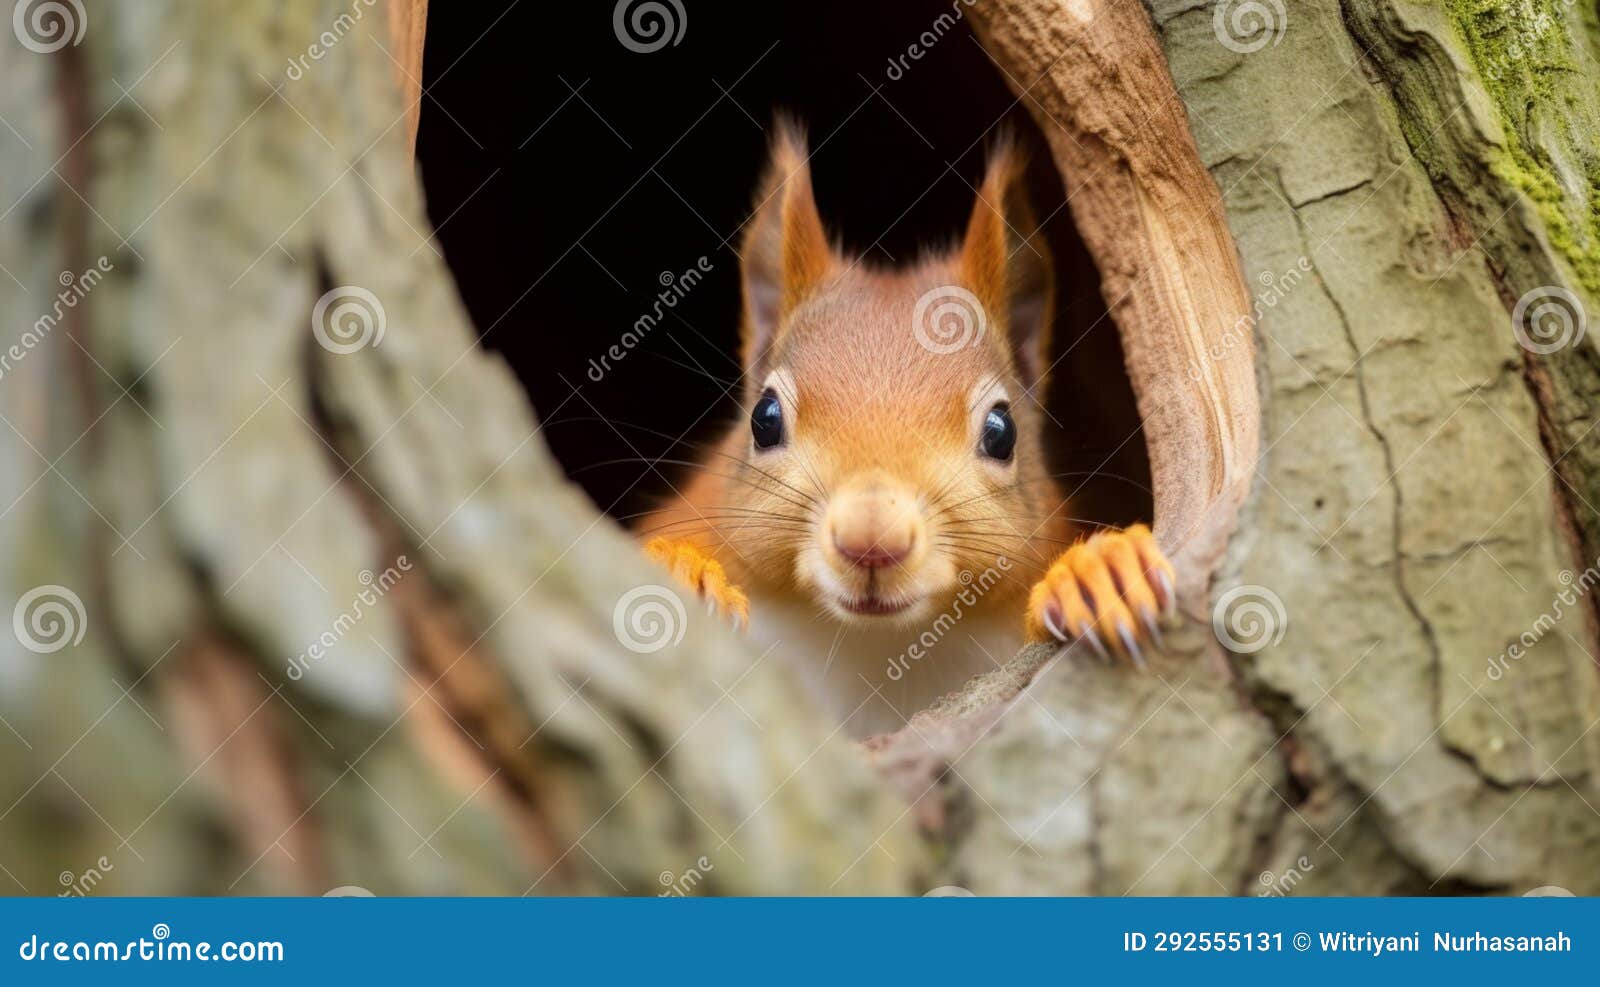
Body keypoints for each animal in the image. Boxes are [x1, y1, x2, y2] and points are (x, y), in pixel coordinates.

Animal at [637, 122, 1175, 738]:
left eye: (1001, 432)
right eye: (764, 419)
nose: (872, 540)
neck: (874, 647)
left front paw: (1098, 572)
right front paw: (680, 570)